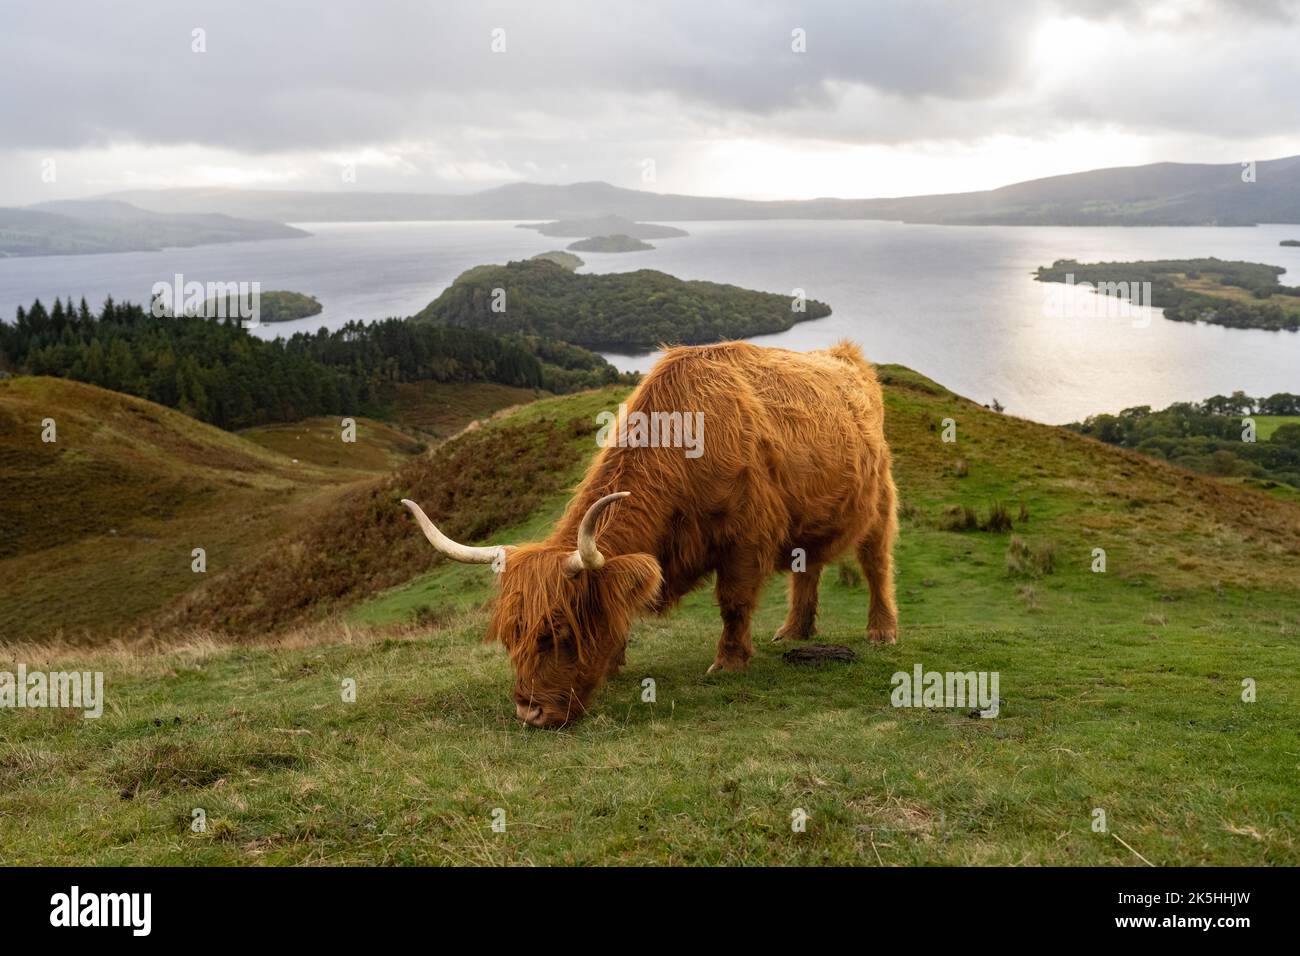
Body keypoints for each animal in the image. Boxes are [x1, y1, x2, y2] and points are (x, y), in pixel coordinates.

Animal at [401, 340, 898, 727]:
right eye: (512, 633)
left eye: (558, 631)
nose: (530, 713)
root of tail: (847, 356)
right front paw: (615, 662)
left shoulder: (745, 539)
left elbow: (734, 603)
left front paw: (729, 662)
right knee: (807, 566)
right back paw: (795, 630)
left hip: (879, 501)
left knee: (876, 564)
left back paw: (881, 631)